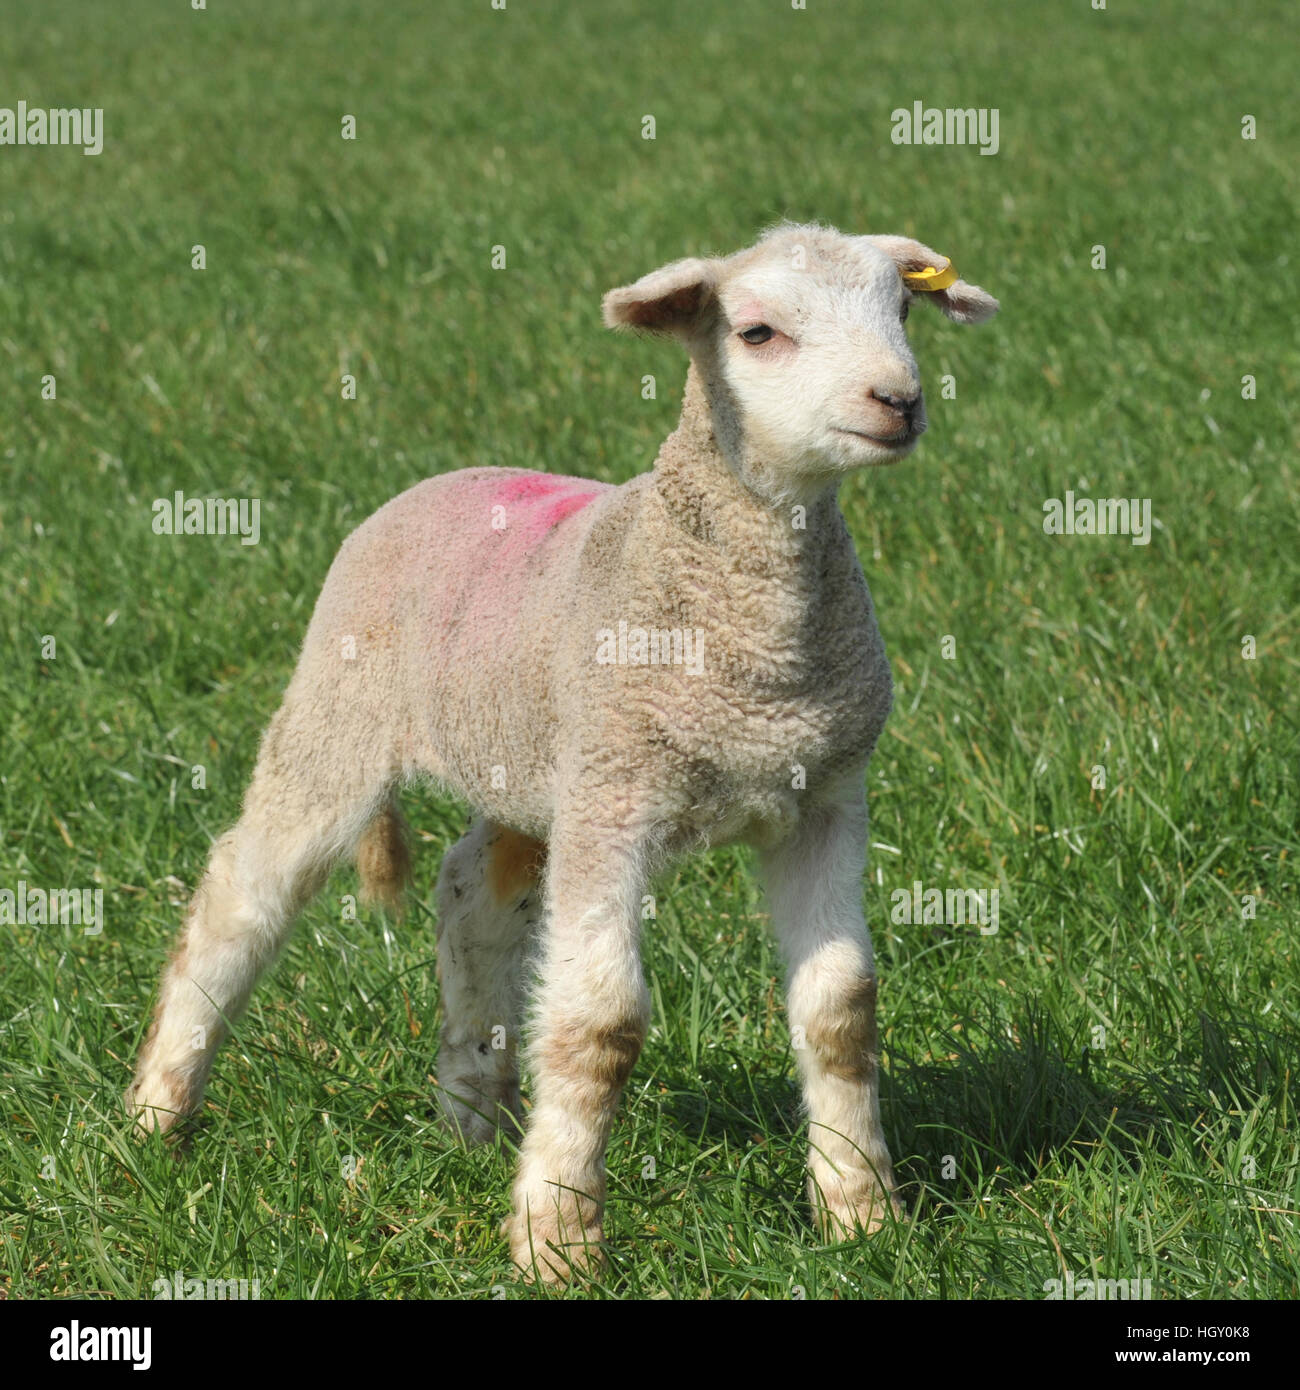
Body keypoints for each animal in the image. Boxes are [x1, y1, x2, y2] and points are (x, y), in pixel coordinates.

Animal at [124, 225, 995, 1278]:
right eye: (756, 333)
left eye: (901, 310)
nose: (898, 401)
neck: (757, 656)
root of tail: (445, 477)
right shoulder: (615, 802)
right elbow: (598, 1027)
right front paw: (560, 1242)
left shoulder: (823, 799)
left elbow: (841, 1010)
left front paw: (863, 1217)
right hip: (341, 717)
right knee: (242, 893)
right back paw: (156, 1117)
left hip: (528, 764)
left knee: (471, 894)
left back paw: (472, 1118)